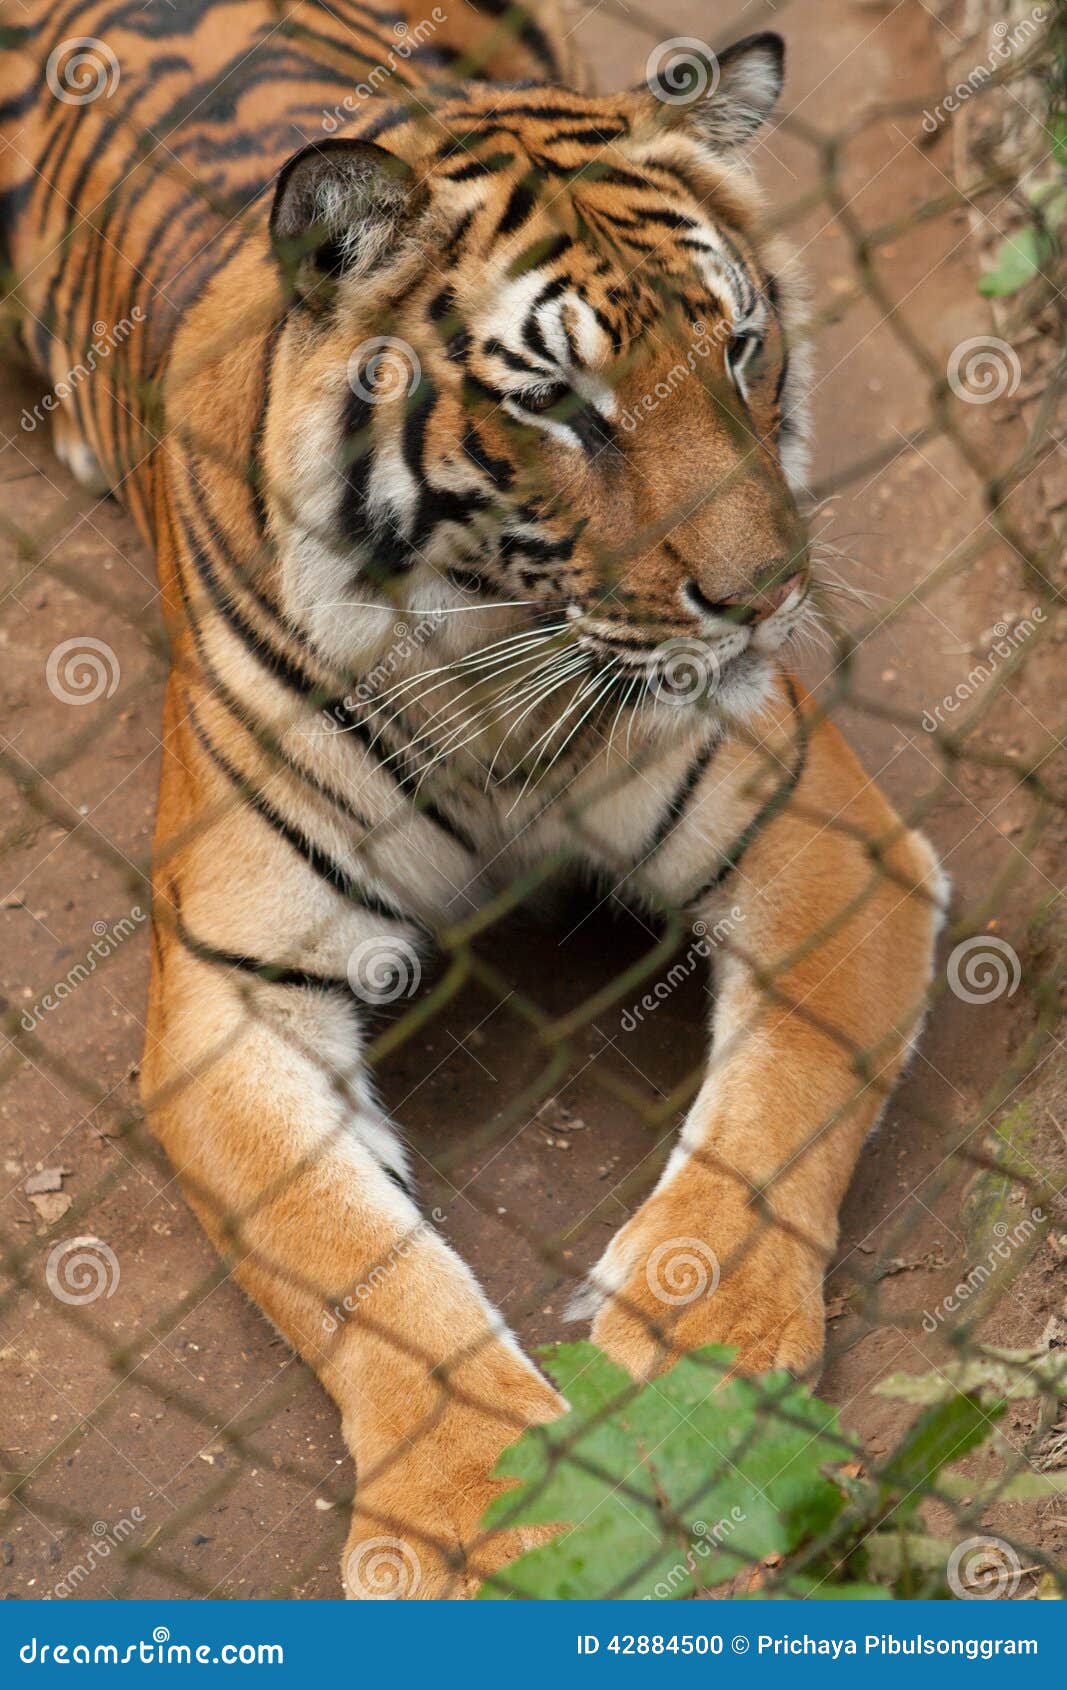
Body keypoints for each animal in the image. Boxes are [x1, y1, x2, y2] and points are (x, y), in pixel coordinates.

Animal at [0, 0, 946, 1598]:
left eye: (740, 346)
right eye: (559, 404)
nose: (766, 594)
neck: (485, 655)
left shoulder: (825, 835)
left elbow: (783, 1094)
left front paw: (704, 1355)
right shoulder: (231, 987)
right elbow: (350, 1257)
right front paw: (481, 1512)